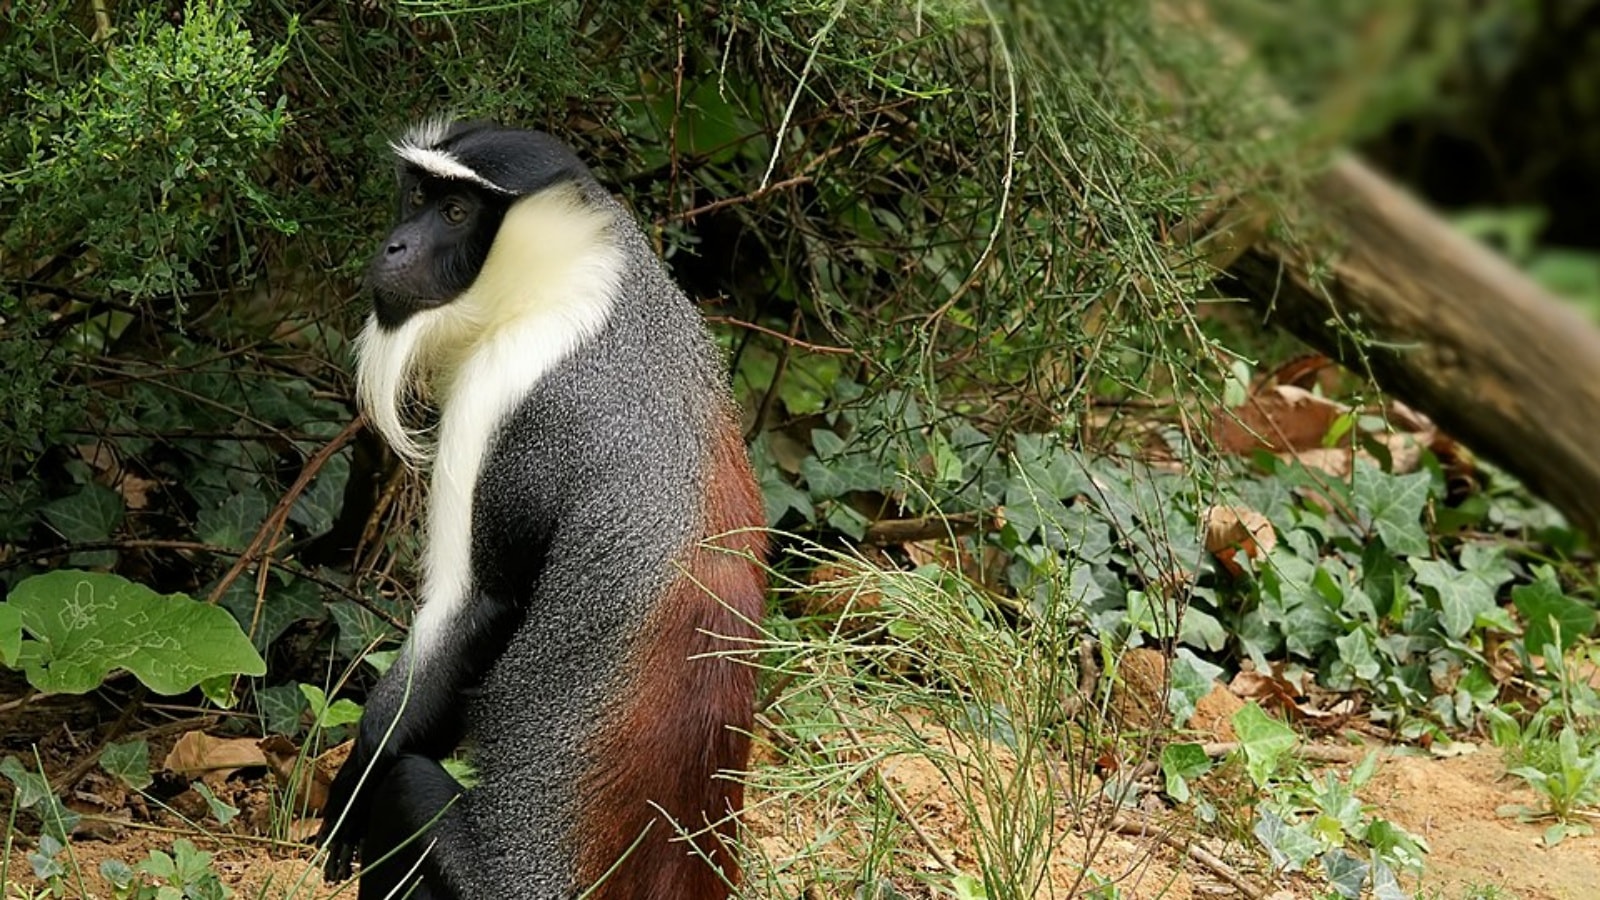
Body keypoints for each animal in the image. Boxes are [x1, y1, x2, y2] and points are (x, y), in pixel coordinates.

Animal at [315, 120, 768, 900]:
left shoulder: (503, 392)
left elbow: (477, 607)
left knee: (410, 790)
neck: (571, 282)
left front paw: (354, 782)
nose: (395, 247)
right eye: (418, 196)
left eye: (457, 213)